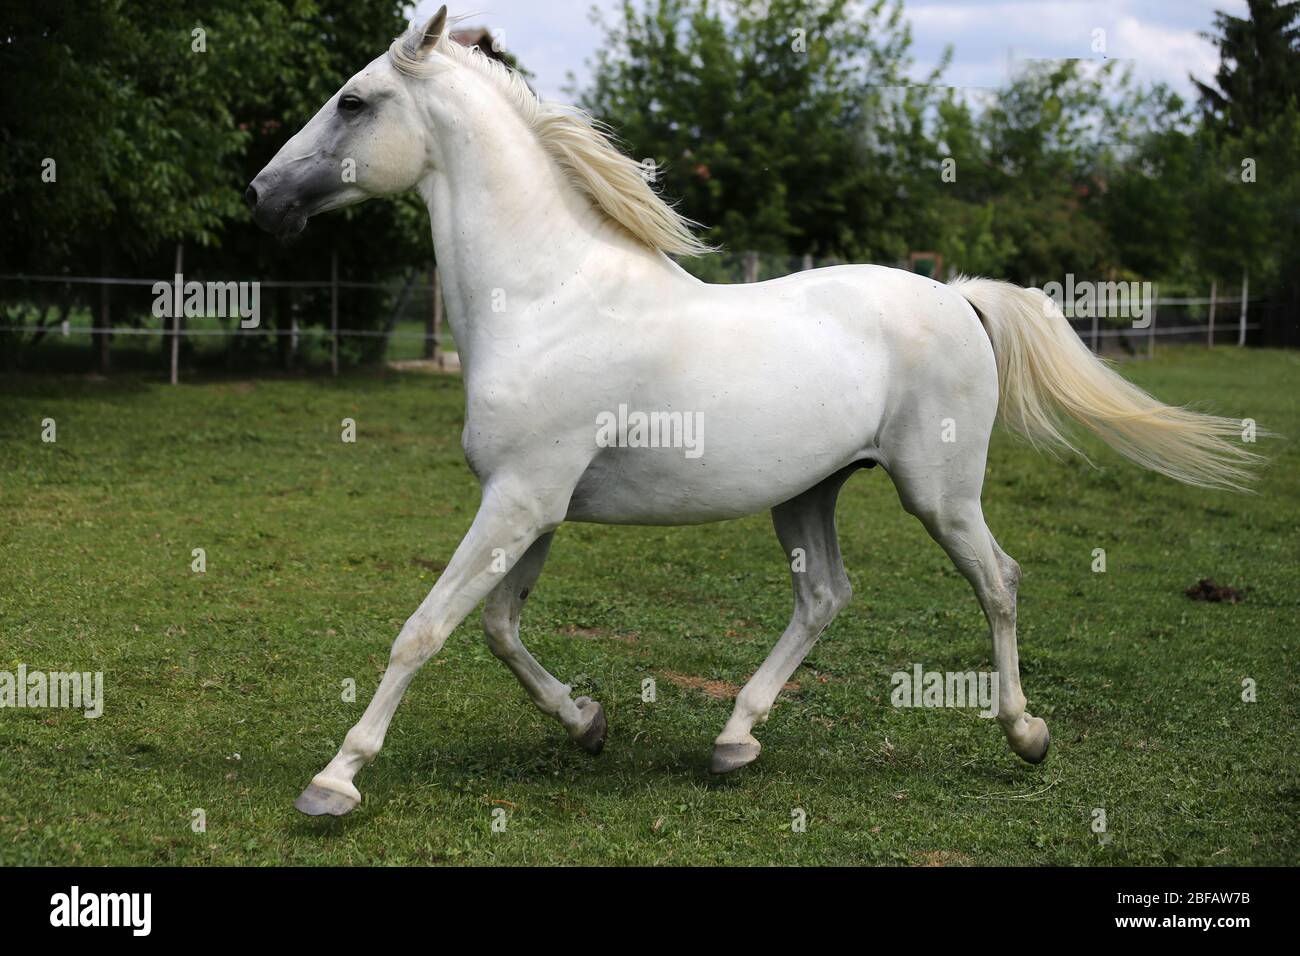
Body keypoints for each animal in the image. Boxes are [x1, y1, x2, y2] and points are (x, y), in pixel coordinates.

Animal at [247, 7, 1261, 816]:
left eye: (353, 101)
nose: (261, 196)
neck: (549, 299)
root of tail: (961, 298)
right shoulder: (531, 504)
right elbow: (499, 629)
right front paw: (587, 722)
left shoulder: (519, 499)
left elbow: (424, 630)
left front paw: (334, 782)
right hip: (808, 492)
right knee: (825, 598)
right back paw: (736, 738)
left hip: (937, 493)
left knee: (998, 581)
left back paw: (1025, 735)